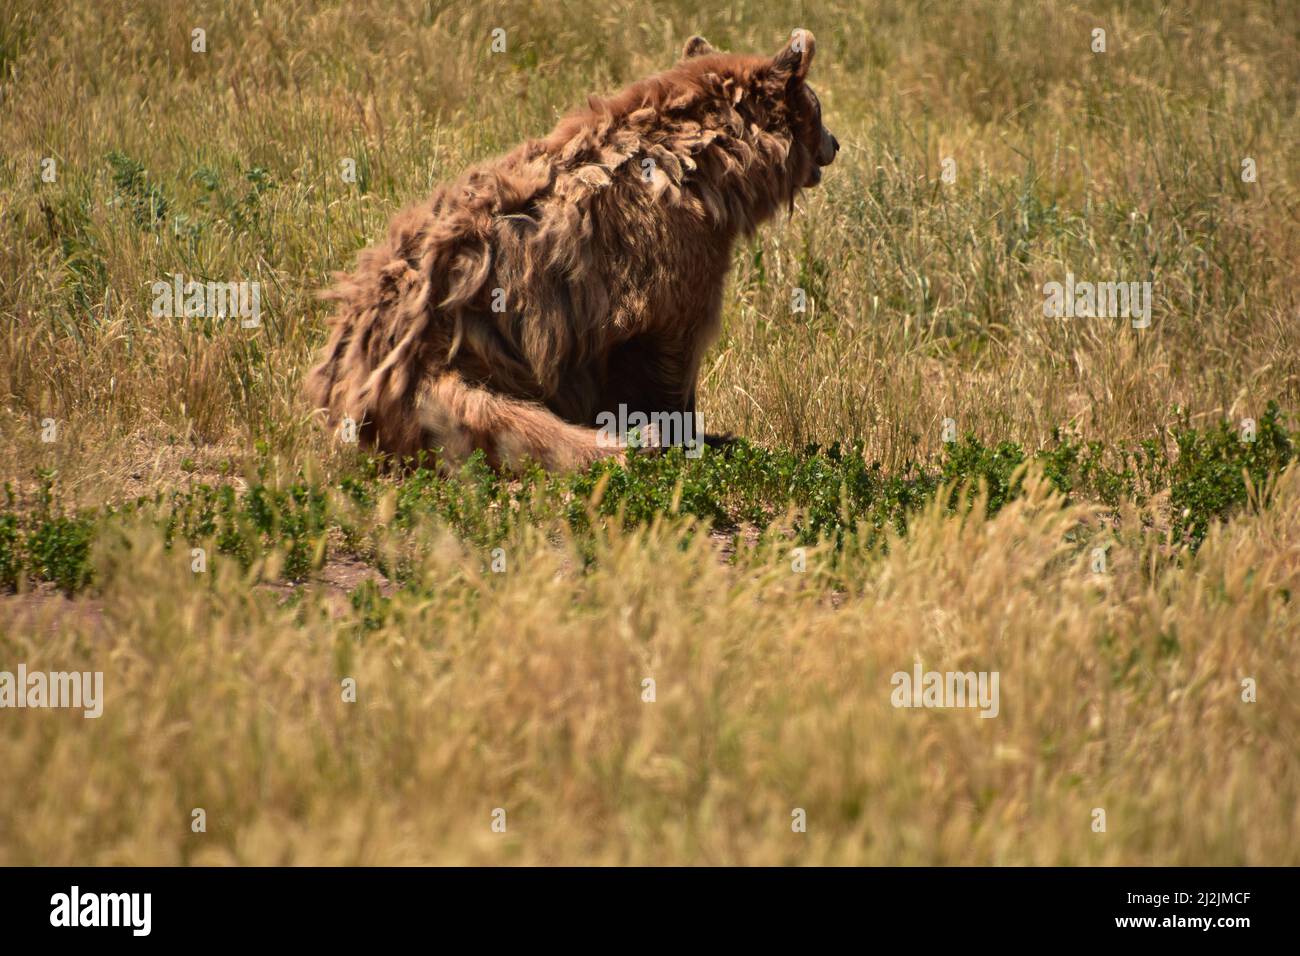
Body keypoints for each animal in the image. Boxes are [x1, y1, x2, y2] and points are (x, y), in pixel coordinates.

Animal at [305, 29, 838, 471]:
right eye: (817, 108)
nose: (833, 145)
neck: (704, 165)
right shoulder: (664, 252)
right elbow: (668, 344)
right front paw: (683, 430)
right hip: (442, 369)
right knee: (513, 426)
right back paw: (625, 446)